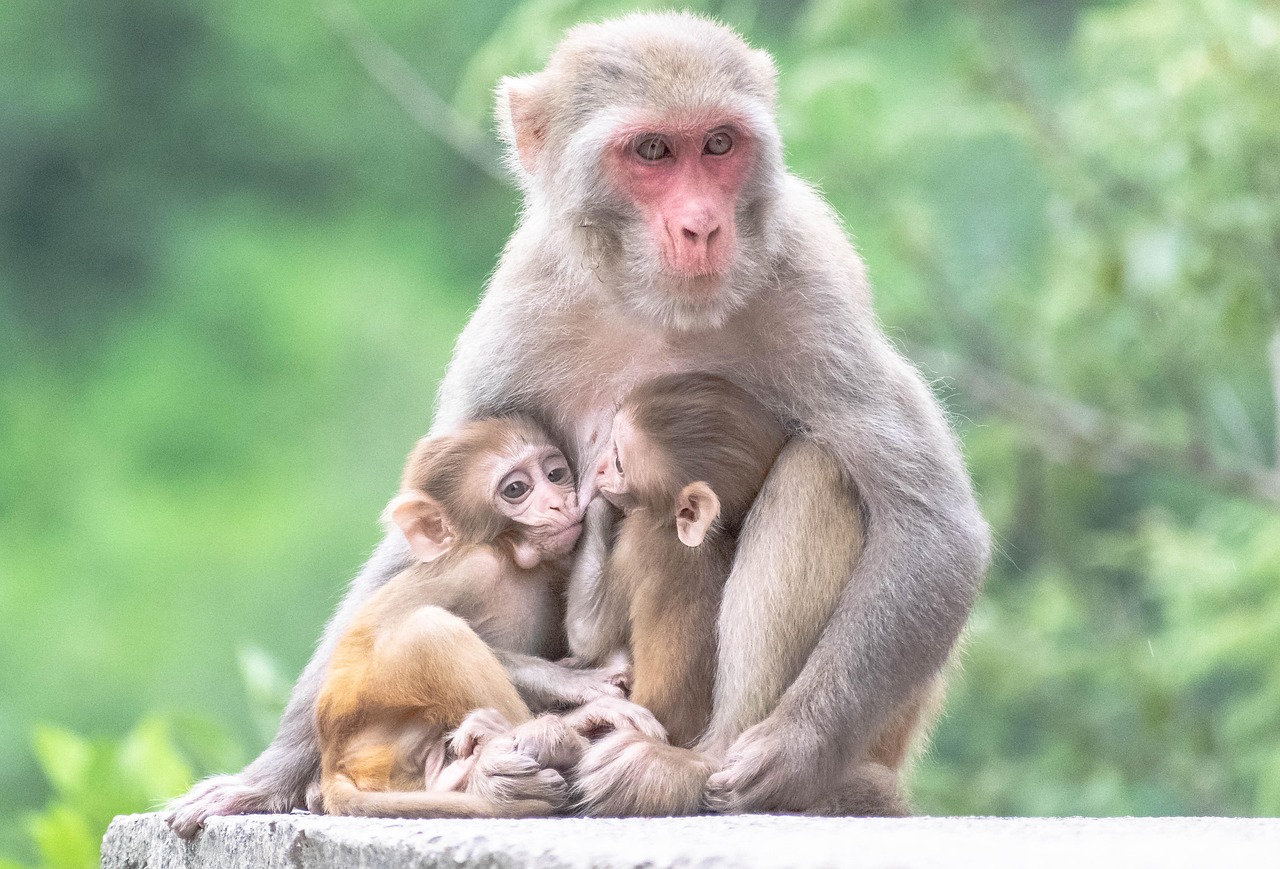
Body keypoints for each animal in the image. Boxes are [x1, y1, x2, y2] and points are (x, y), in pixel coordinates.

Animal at [166, 11, 988, 834]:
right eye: (652, 151)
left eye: (719, 144)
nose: (702, 226)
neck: (653, 304)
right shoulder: (520, 305)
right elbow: (421, 543)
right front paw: (267, 774)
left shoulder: (813, 291)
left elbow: (933, 524)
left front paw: (791, 746)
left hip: (877, 738)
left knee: (819, 473)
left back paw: (692, 767)